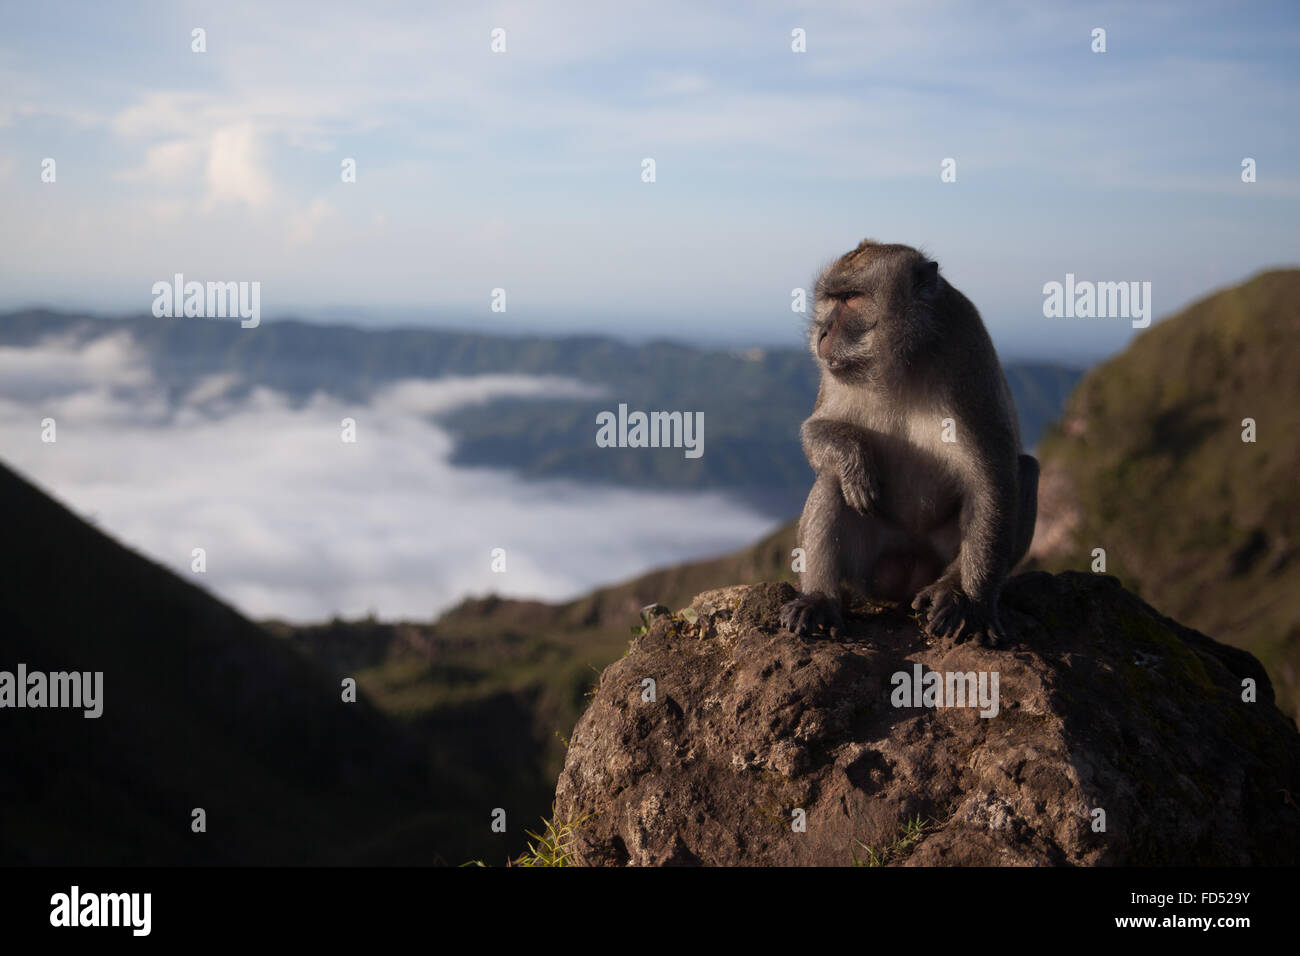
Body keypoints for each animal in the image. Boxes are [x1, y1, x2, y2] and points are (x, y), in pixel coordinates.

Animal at [778, 239, 1038, 646]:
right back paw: (820, 599)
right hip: (871, 563)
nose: (821, 332)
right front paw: (853, 458)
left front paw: (974, 603)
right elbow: (815, 429)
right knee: (831, 483)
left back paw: (949, 589)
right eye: (831, 299)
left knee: (1024, 470)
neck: (899, 364)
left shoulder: (968, 356)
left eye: (851, 298)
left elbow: (991, 477)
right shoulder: (834, 375)